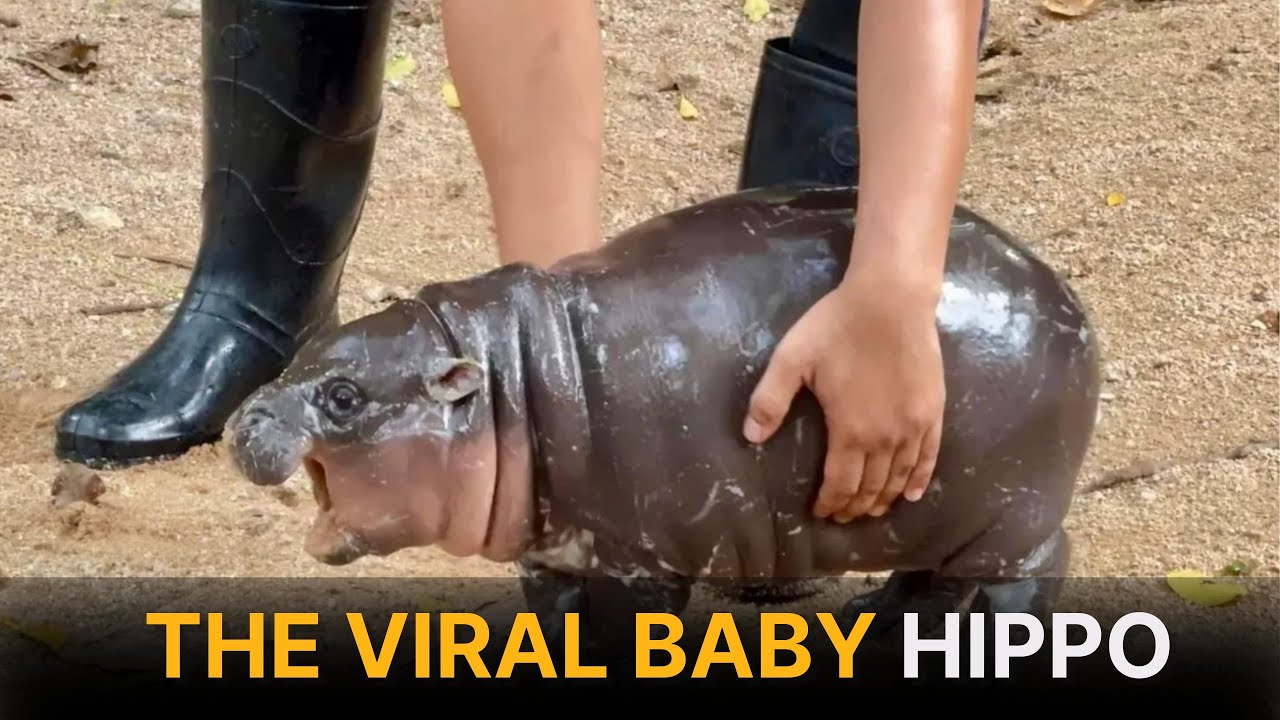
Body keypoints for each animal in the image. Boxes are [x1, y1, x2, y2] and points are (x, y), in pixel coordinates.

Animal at [225, 185, 1102, 644]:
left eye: (344, 396)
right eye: (306, 350)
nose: (243, 420)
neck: (507, 381)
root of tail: (1067, 299)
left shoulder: (638, 560)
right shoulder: (557, 550)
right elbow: (552, 616)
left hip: (1010, 519)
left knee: (1026, 576)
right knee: (928, 585)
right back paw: (875, 624)